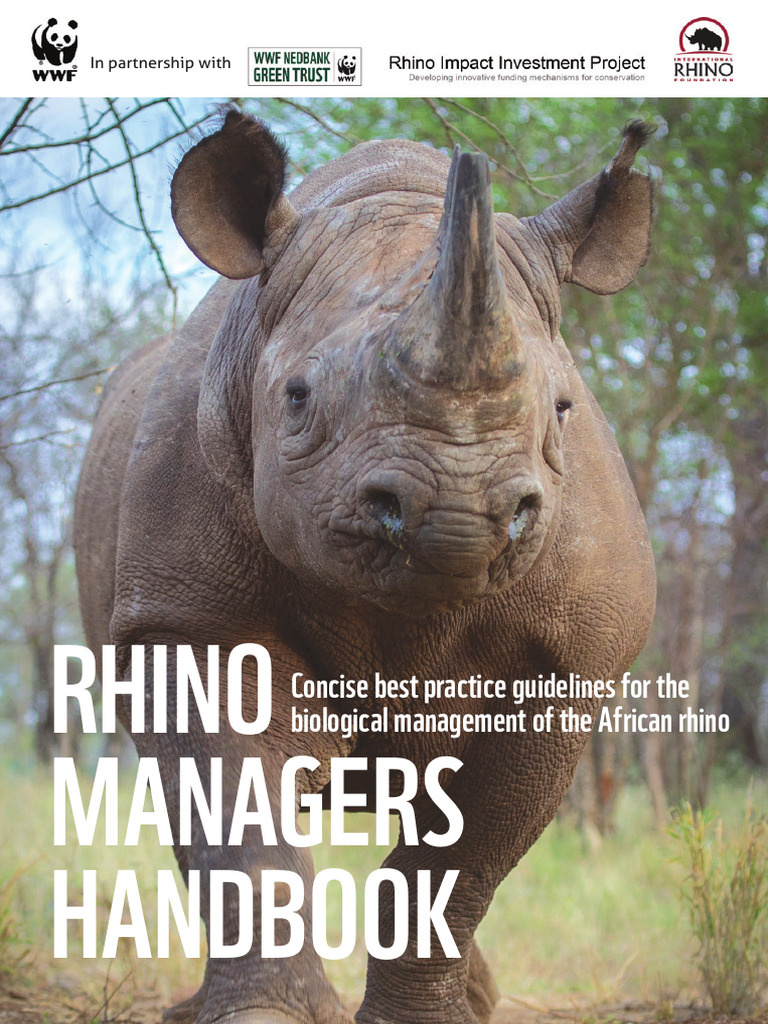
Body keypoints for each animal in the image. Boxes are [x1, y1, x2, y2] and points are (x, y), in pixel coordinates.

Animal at [75, 111, 657, 1024]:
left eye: (563, 409)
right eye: (297, 398)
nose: (458, 508)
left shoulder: (573, 659)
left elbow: (467, 860)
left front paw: (429, 1018)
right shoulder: (185, 618)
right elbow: (239, 829)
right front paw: (261, 1016)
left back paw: (480, 999)